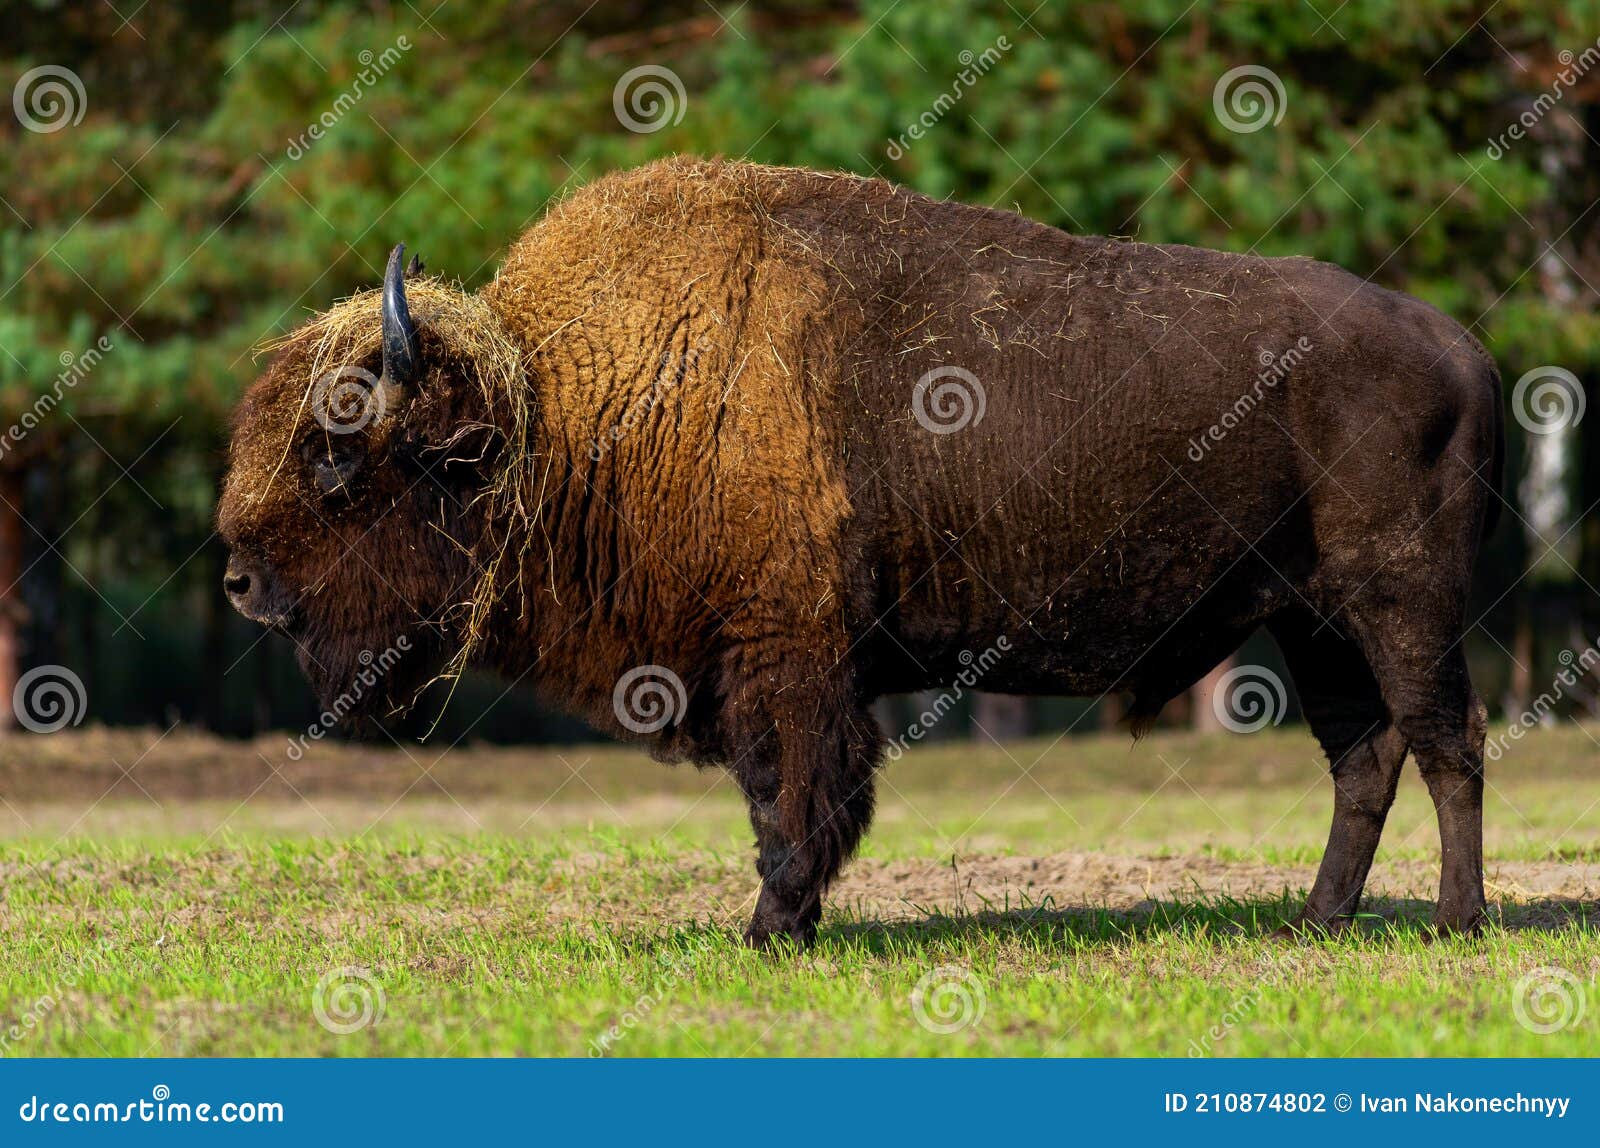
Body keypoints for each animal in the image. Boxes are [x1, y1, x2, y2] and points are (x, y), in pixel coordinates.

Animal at [220, 158, 1503, 947]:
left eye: (337, 463)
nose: (239, 577)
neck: (569, 414)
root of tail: (1463, 344)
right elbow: (778, 795)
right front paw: (778, 922)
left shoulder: (789, 656)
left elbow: (800, 796)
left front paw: (768, 927)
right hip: (1313, 618)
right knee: (1364, 755)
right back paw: (1317, 920)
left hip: (1400, 603)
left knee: (1447, 744)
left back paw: (1455, 920)